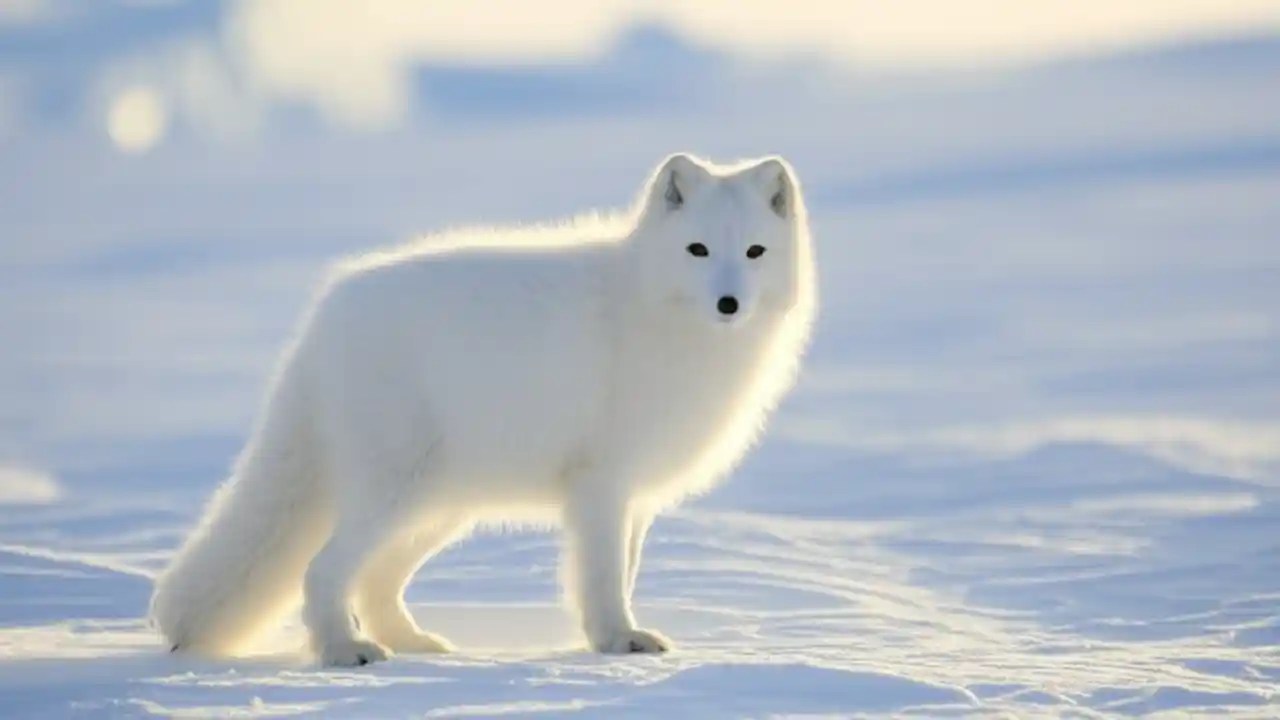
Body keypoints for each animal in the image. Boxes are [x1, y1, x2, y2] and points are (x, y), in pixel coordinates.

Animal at [150, 153, 817, 666]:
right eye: (696, 249)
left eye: (755, 252)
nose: (729, 303)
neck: (656, 309)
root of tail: (322, 320)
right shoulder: (601, 484)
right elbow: (602, 577)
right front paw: (615, 641)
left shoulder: (637, 496)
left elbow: (623, 570)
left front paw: (618, 638)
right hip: (397, 490)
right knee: (323, 571)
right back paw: (345, 652)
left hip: (439, 503)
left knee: (375, 580)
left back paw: (415, 644)